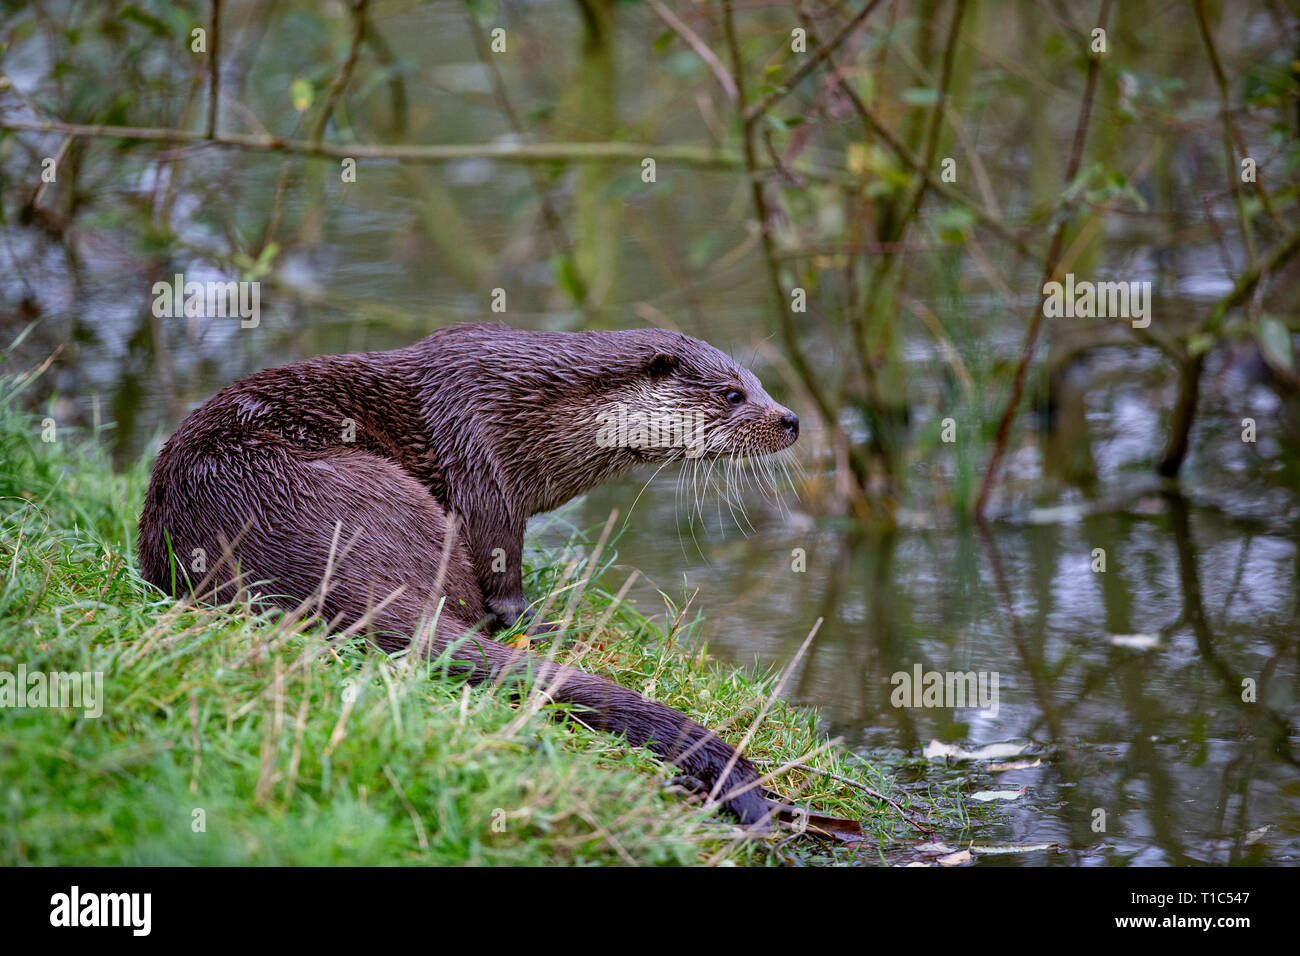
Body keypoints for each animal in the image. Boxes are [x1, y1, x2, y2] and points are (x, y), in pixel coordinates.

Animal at [138, 322, 799, 825]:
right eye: (733, 394)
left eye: (761, 382)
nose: (791, 419)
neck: (535, 411)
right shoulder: (481, 460)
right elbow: (500, 569)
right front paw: (538, 617)